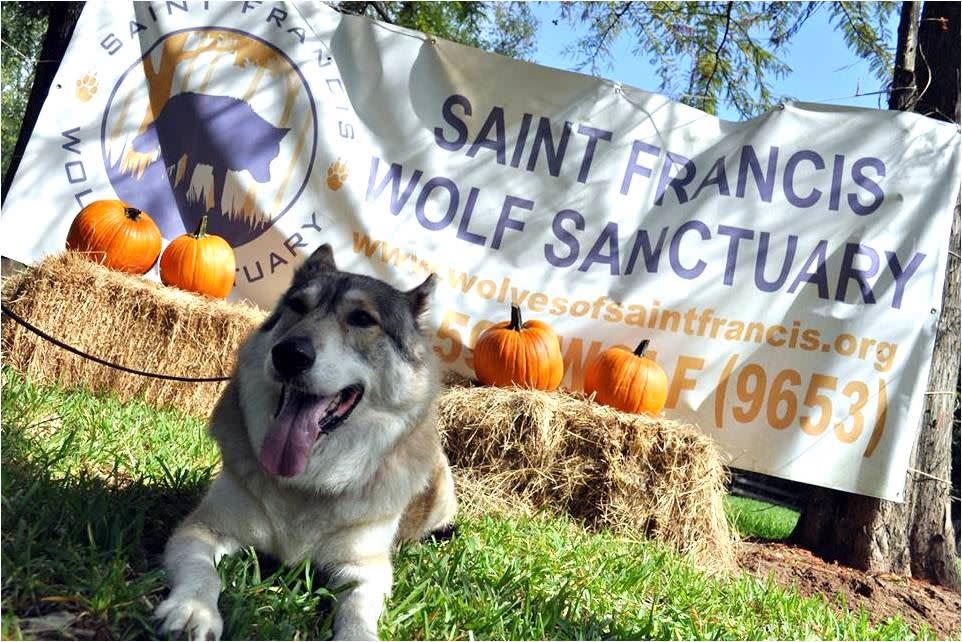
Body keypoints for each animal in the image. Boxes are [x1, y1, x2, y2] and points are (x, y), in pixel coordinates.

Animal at [154, 244, 457, 641]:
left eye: (362, 319)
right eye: (297, 305)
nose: (289, 355)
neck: (308, 481)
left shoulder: (365, 568)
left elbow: (357, 610)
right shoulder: (201, 530)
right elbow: (202, 572)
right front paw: (194, 610)